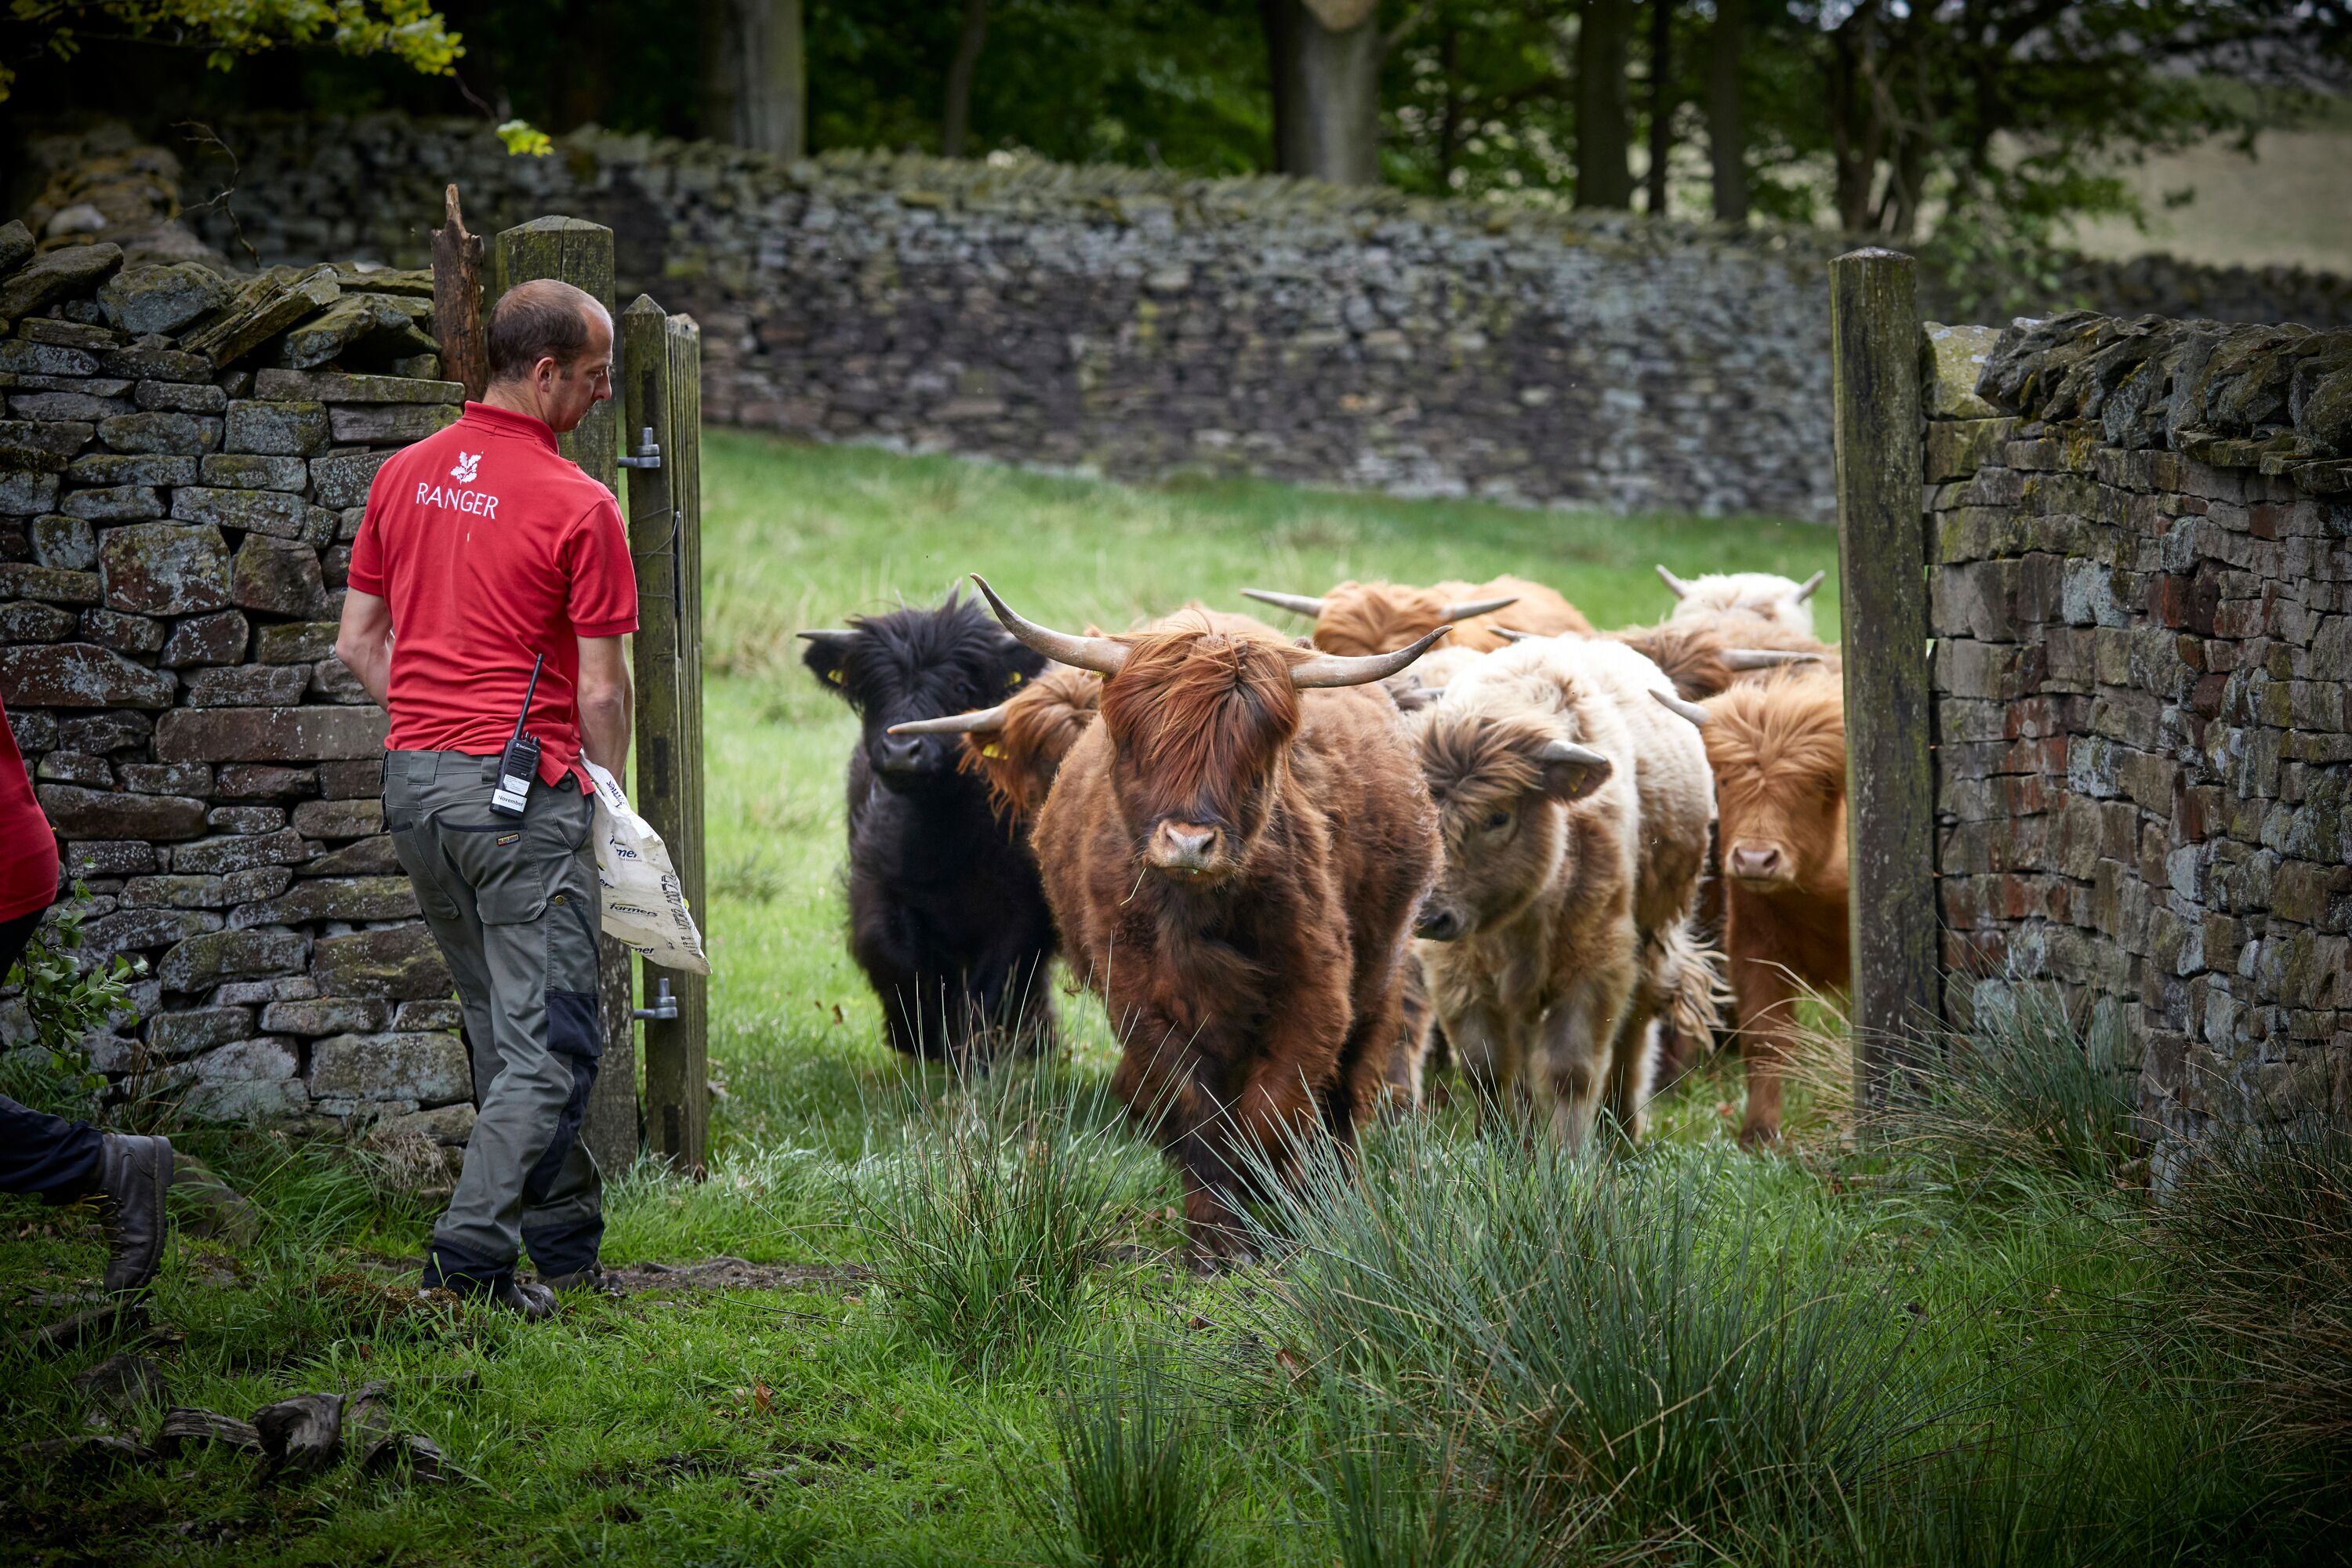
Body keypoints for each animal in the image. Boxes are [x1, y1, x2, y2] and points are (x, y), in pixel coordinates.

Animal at [799, 592, 1057, 1062]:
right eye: (872, 688)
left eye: (960, 687)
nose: (902, 751)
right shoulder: (876, 886)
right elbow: (896, 958)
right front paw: (916, 1036)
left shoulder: (1021, 914)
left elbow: (990, 986)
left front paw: (975, 1056)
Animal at [970, 579, 1444, 1262]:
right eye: (1139, 741)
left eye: (1255, 750)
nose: (1189, 842)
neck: (1197, 915)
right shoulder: (1139, 1002)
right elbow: (1194, 1109)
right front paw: (1216, 1238)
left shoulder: (1317, 993)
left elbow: (1272, 1111)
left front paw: (1278, 1206)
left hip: (1380, 973)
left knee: (1348, 1095)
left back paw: (1332, 1198)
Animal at [1408, 634, 1716, 1150]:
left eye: (1498, 817)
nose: (1430, 916)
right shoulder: (1456, 971)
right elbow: (1484, 1066)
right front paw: (1499, 1147)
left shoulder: (1597, 961)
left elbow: (1570, 1070)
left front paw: (1568, 1157)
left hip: (1654, 938)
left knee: (1635, 1031)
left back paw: (1621, 1133)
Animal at [1699, 667, 1850, 1145]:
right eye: (1725, 780)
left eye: (1818, 784)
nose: (1754, 859)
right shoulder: (1752, 949)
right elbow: (1765, 1038)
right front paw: (1759, 1133)